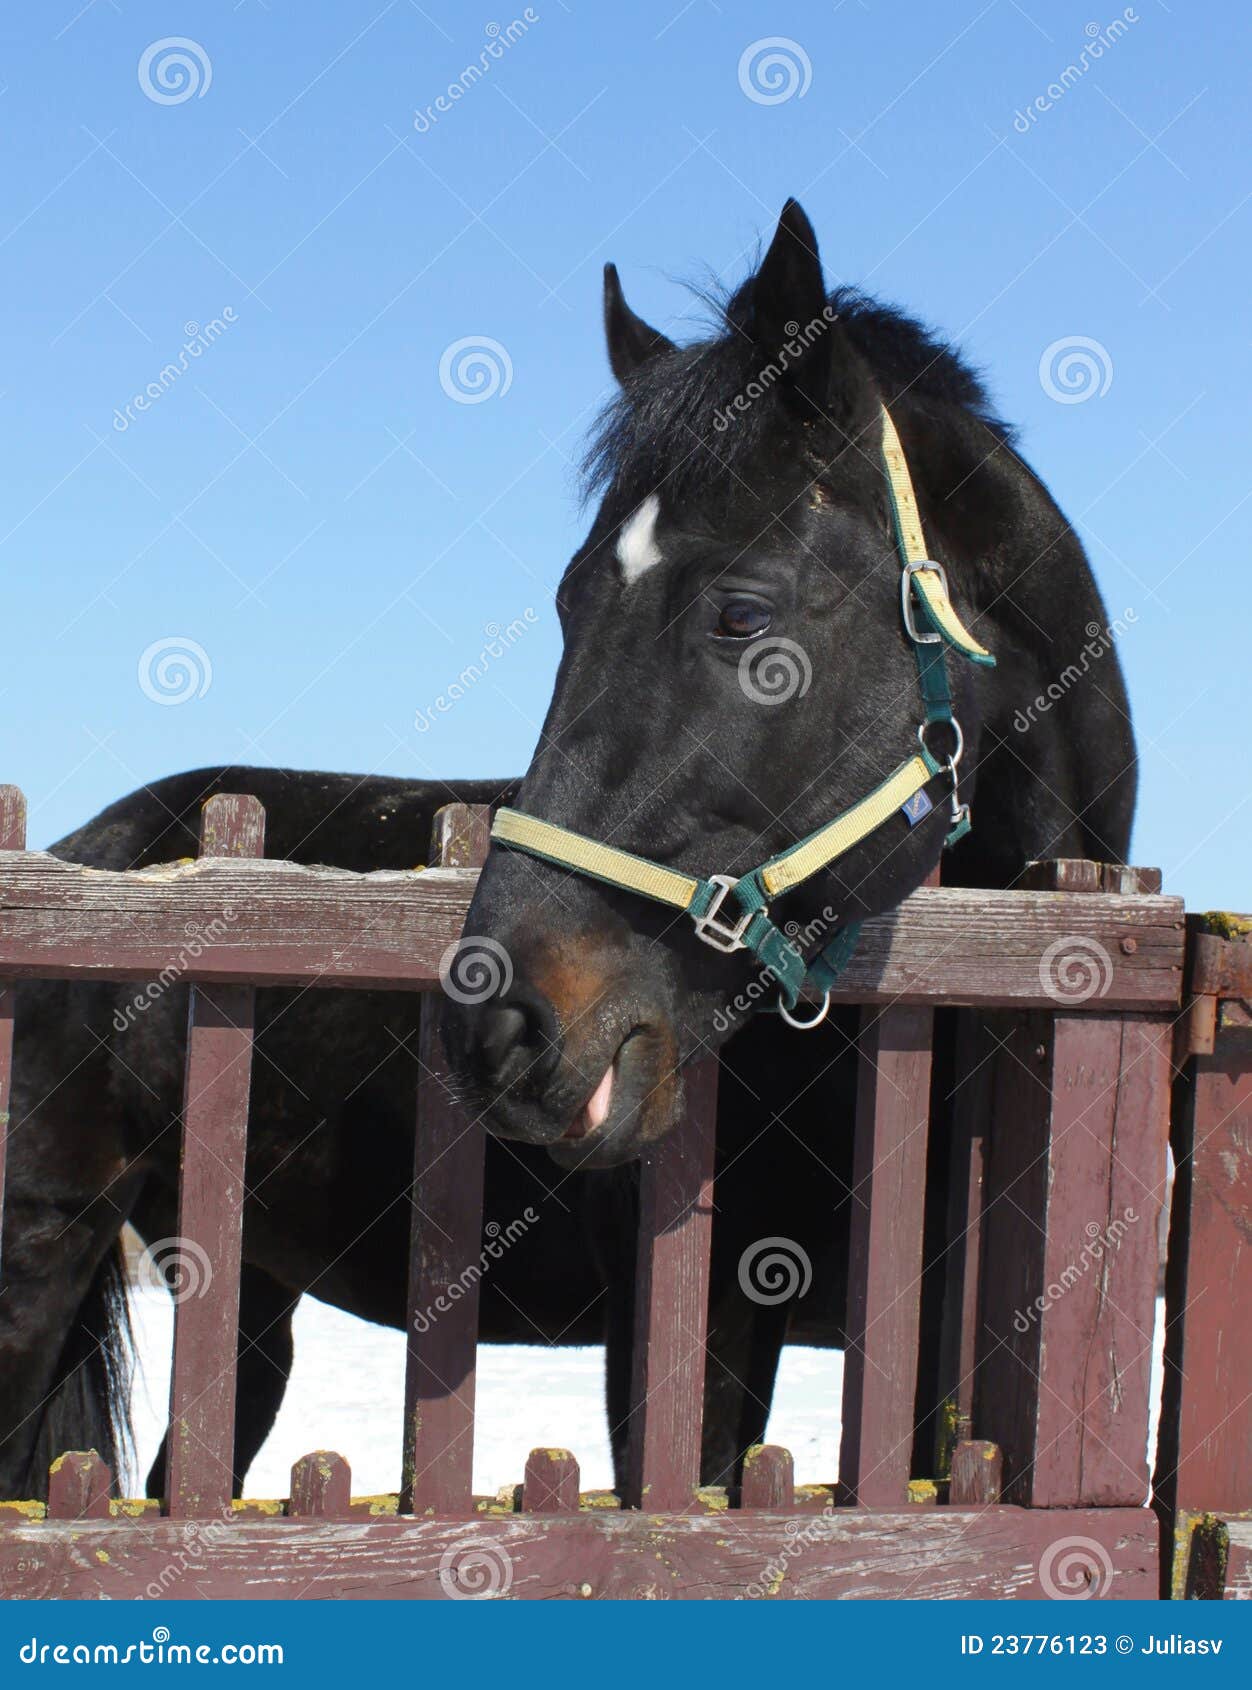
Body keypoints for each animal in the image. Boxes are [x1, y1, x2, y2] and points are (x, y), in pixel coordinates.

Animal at [0, 199, 1134, 1505]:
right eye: (566, 602)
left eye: (742, 614)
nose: (495, 1023)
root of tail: (96, 848)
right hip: (42, 1250)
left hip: (249, 1293)